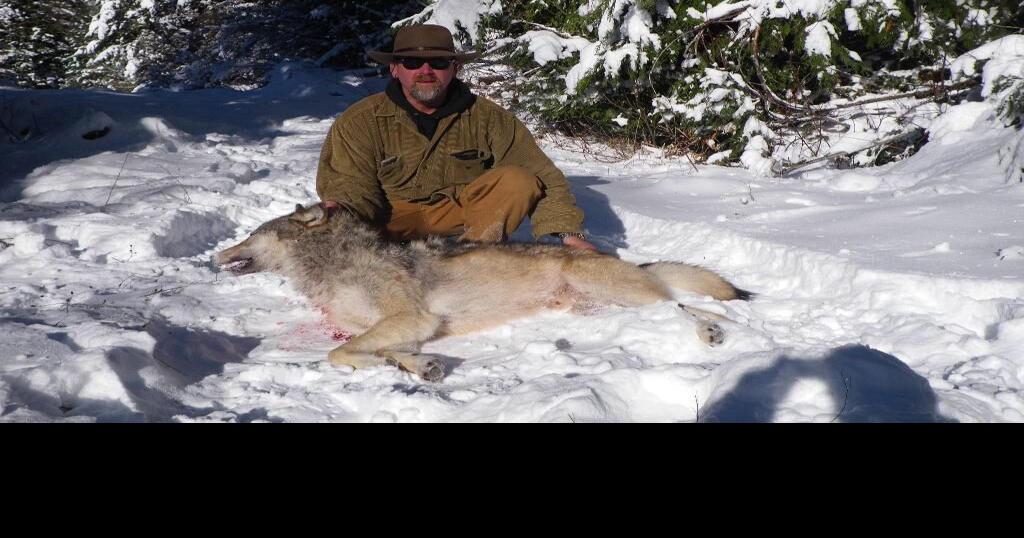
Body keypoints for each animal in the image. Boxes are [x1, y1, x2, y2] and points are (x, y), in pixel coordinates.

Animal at [214, 203, 751, 381]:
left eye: (251, 235)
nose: (219, 254)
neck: (334, 263)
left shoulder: (412, 318)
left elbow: (336, 353)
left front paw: (391, 366)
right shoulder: (405, 329)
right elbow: (367, 351)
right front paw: (416, 367)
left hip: (610, 288)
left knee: (694, 306)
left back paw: (716, 333)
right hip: (600, 309)